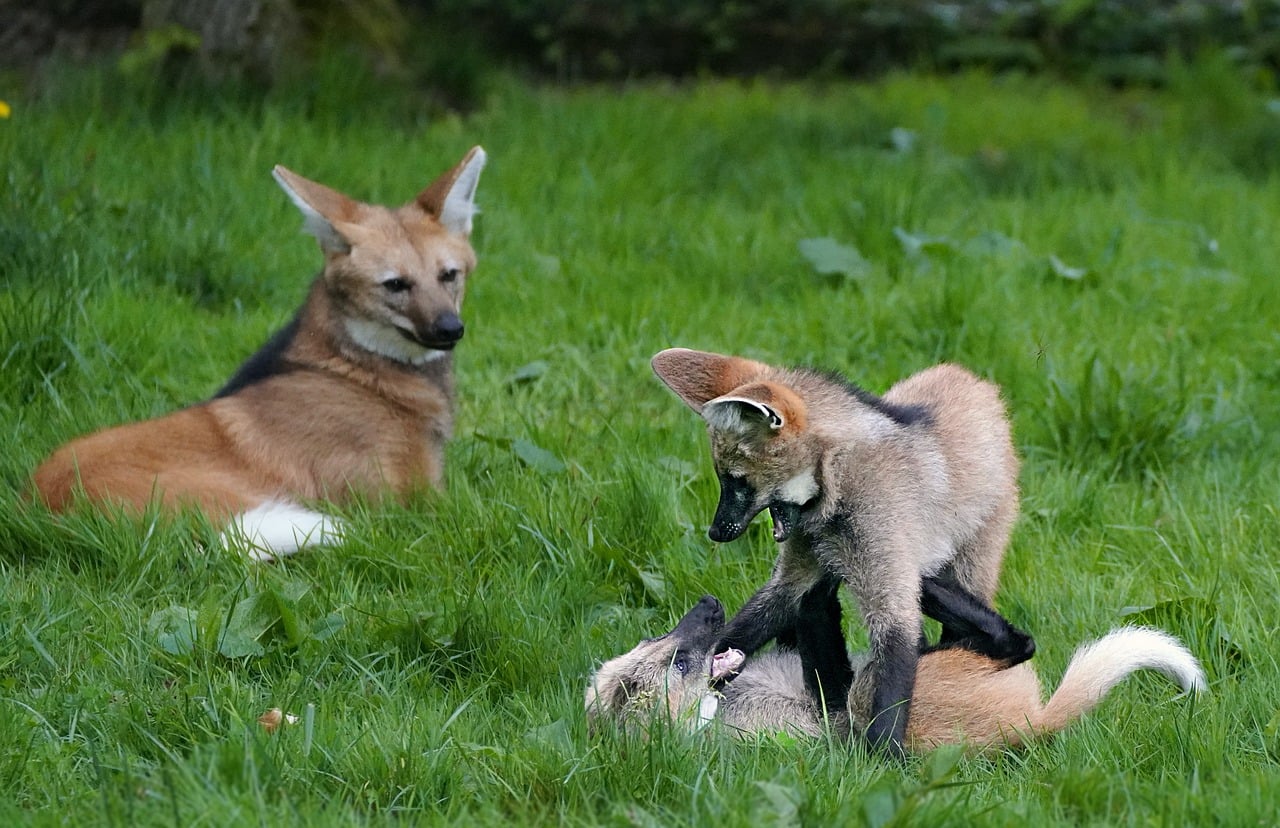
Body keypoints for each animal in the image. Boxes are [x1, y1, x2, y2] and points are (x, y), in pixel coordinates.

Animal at [31, 147, 487, 559]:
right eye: (395, 284)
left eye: (448, 275)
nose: (450, 329)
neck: (360, 370)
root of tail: (42, 511)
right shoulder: (408, 502)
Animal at [585, 596, 1207, 752]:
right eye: (676, 662)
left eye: (653, 641)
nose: (710, 606)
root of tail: (1035, 720)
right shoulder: (830, 710)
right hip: (880, 695)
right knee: (1012, 643)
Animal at [651, 348, 1034, 755]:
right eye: (723, 479)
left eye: (736, 481)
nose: (715, 532)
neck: (835, 490)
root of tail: (974, 382)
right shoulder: (800, 571)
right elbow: (751, 620)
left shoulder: (887, 586)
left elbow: (894, 661)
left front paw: (884, 760)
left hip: (978, 549)